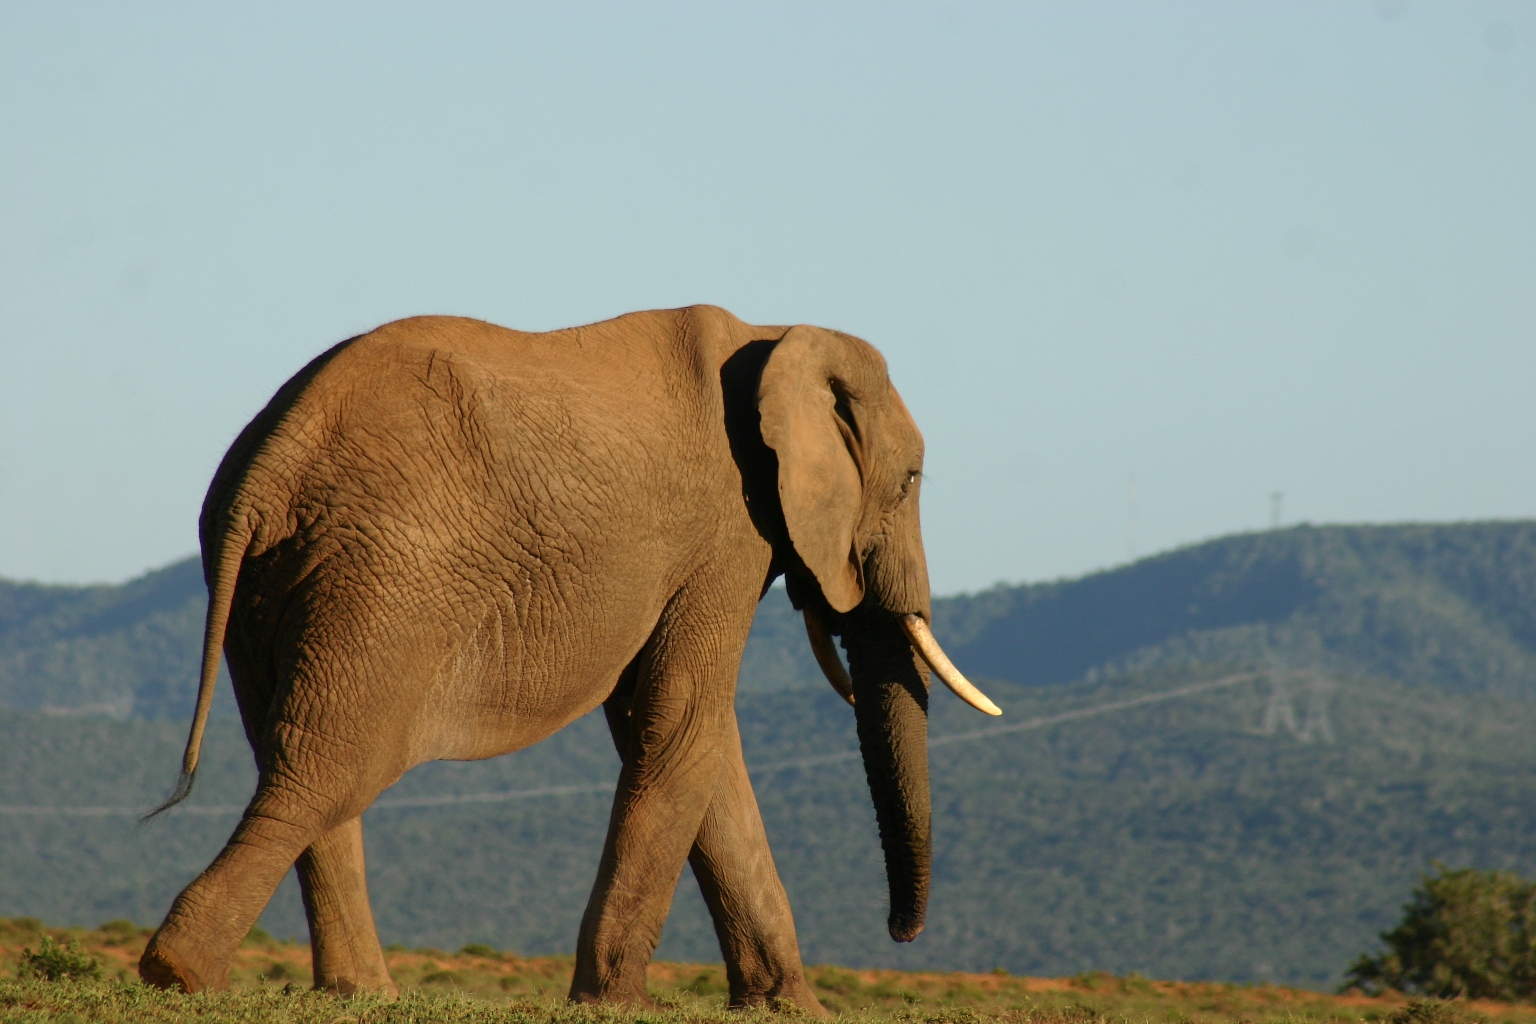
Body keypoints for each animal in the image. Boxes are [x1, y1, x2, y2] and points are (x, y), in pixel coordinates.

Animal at [137, 305, 1000, 1010]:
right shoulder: (729, 529)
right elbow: (685, 719)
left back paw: (359, 994)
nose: (900, 934)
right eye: (911, 480)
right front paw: (615, 1003)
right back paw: (180, 973)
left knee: (300, 764)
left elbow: (688, 736)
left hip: (270, 583)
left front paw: (788, 1010)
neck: (776, 335)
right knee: (324, 767)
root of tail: (266, 467)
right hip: (384, 577)